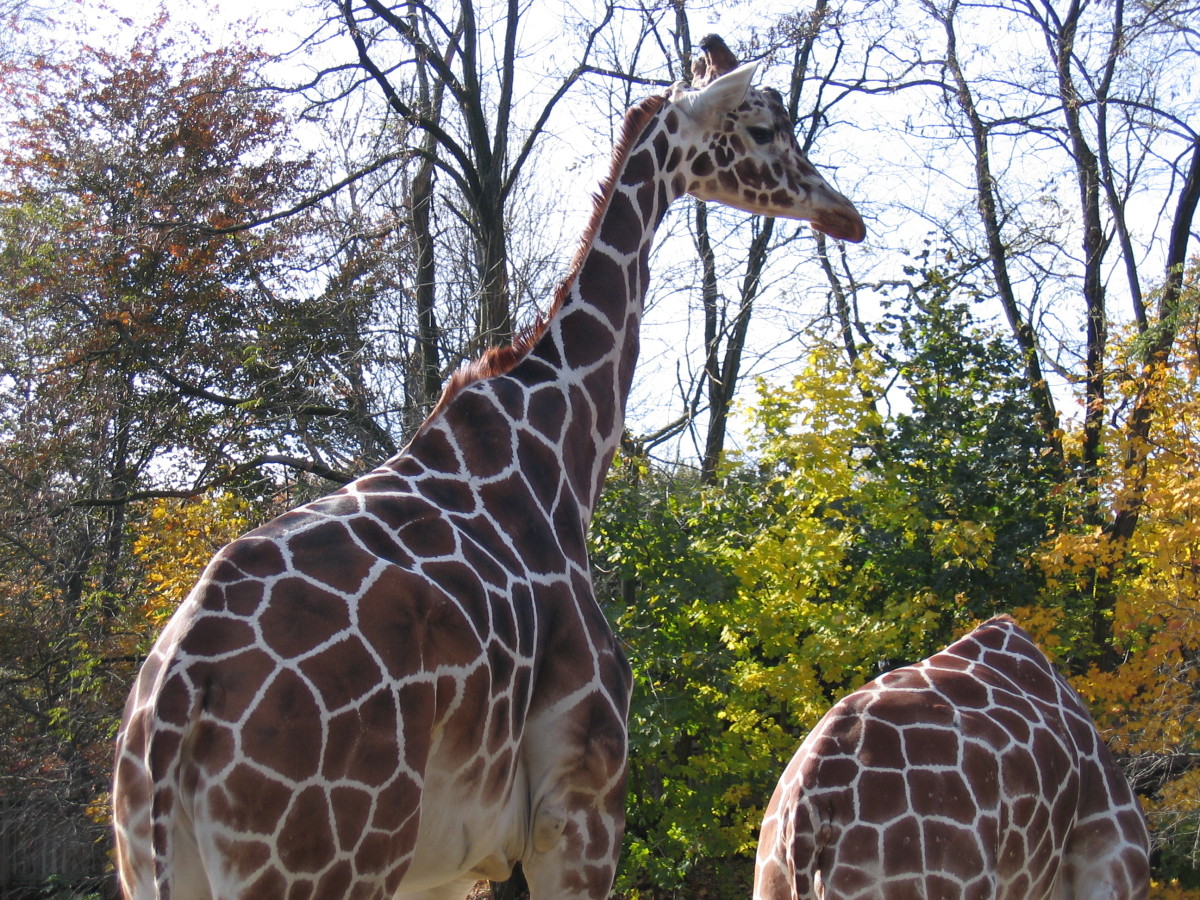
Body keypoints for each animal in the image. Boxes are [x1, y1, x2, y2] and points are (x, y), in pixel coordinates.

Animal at [112, 35, 864, 900]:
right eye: (767, 128)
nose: (847, 214)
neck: (558, 451)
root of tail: (175, 706)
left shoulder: (449, 865)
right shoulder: (579, 812)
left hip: (159, 861)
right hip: (327, 864)